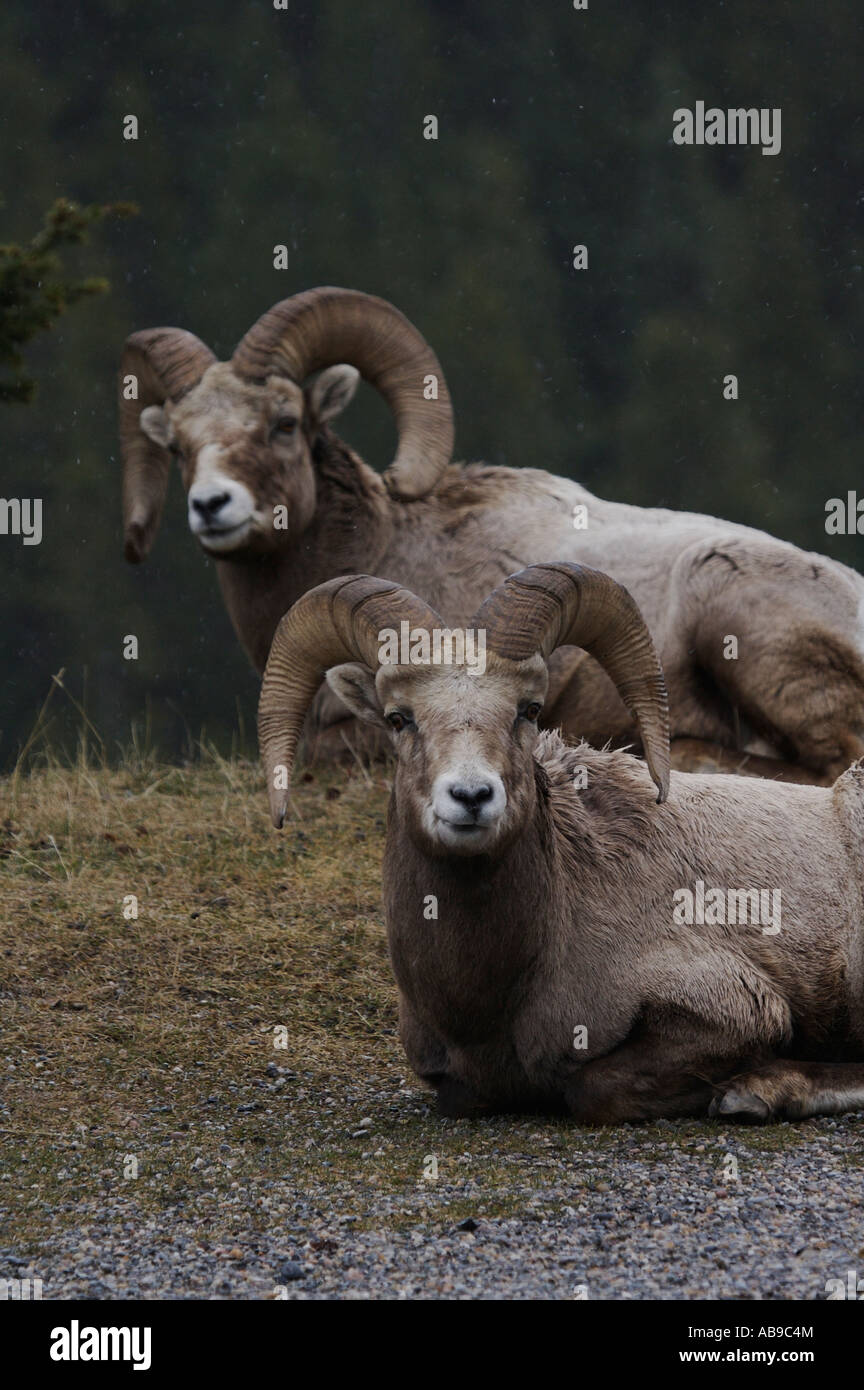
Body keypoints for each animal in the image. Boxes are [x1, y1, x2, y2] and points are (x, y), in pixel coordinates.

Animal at [257, 563, 864, 1123]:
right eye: (398, 718)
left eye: (528, 709)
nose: (471, 796)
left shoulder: (734, 1009)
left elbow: (591, 1089)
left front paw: (740, 1087)